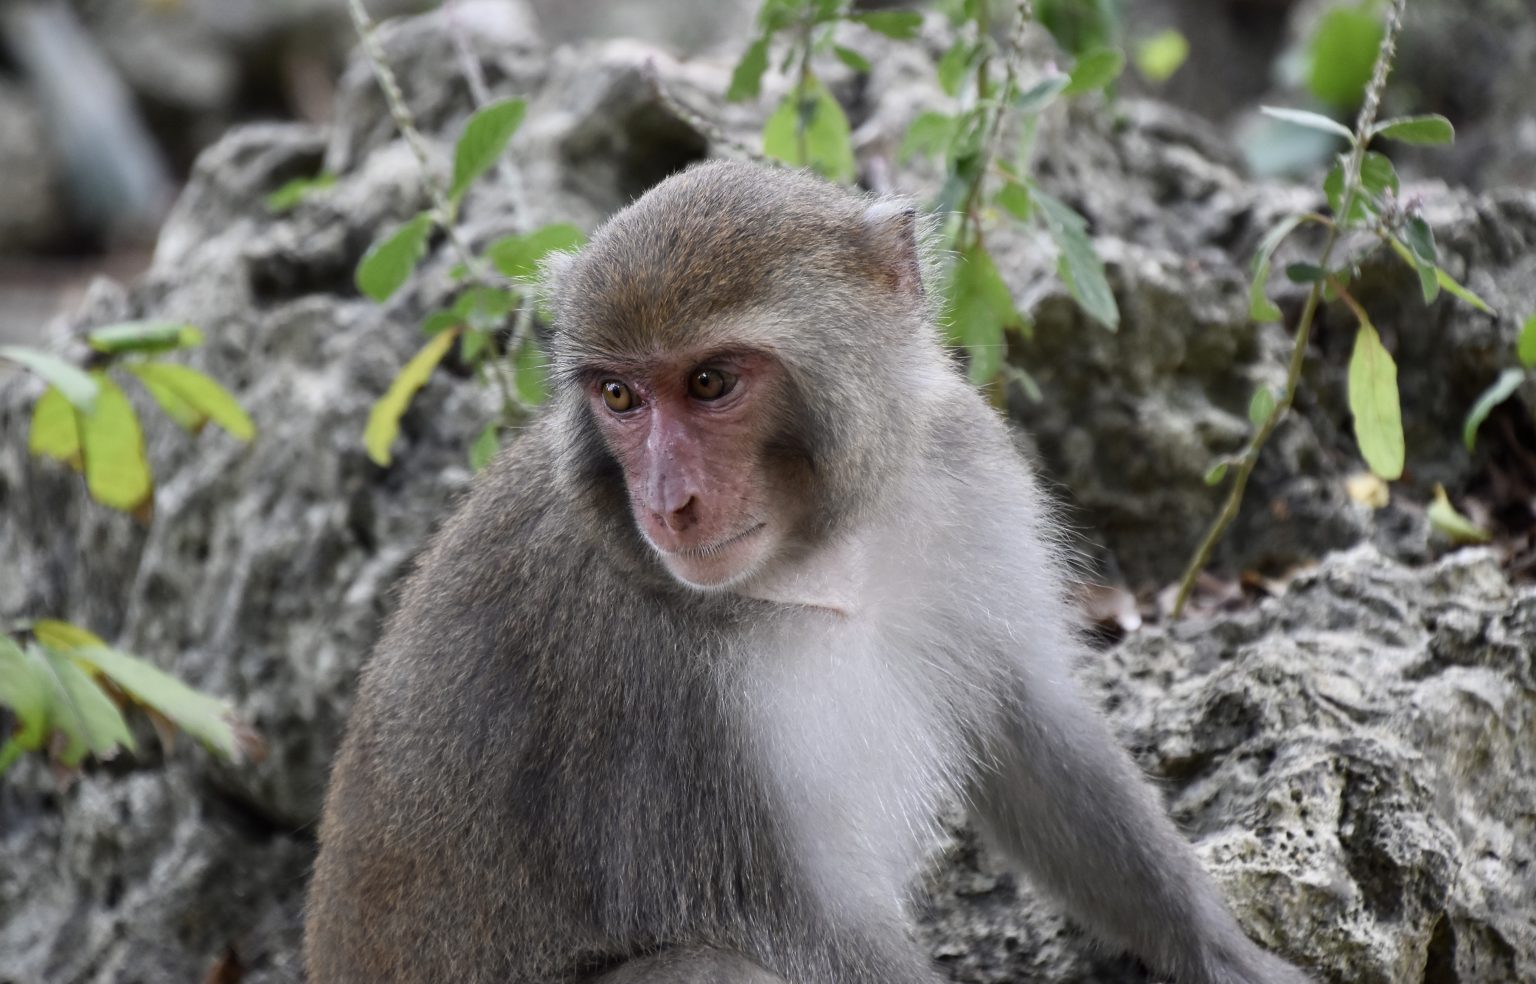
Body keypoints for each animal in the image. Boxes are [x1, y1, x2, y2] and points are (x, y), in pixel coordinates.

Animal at [304, 160, 1313, 984]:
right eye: (620, 395)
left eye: (710, 383)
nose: (667, 503)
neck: (822, 555)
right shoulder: (649, 680)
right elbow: (789, 920)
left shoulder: (965, 475)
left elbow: (1034, 730)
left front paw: (1232, 958)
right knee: (705, 970)